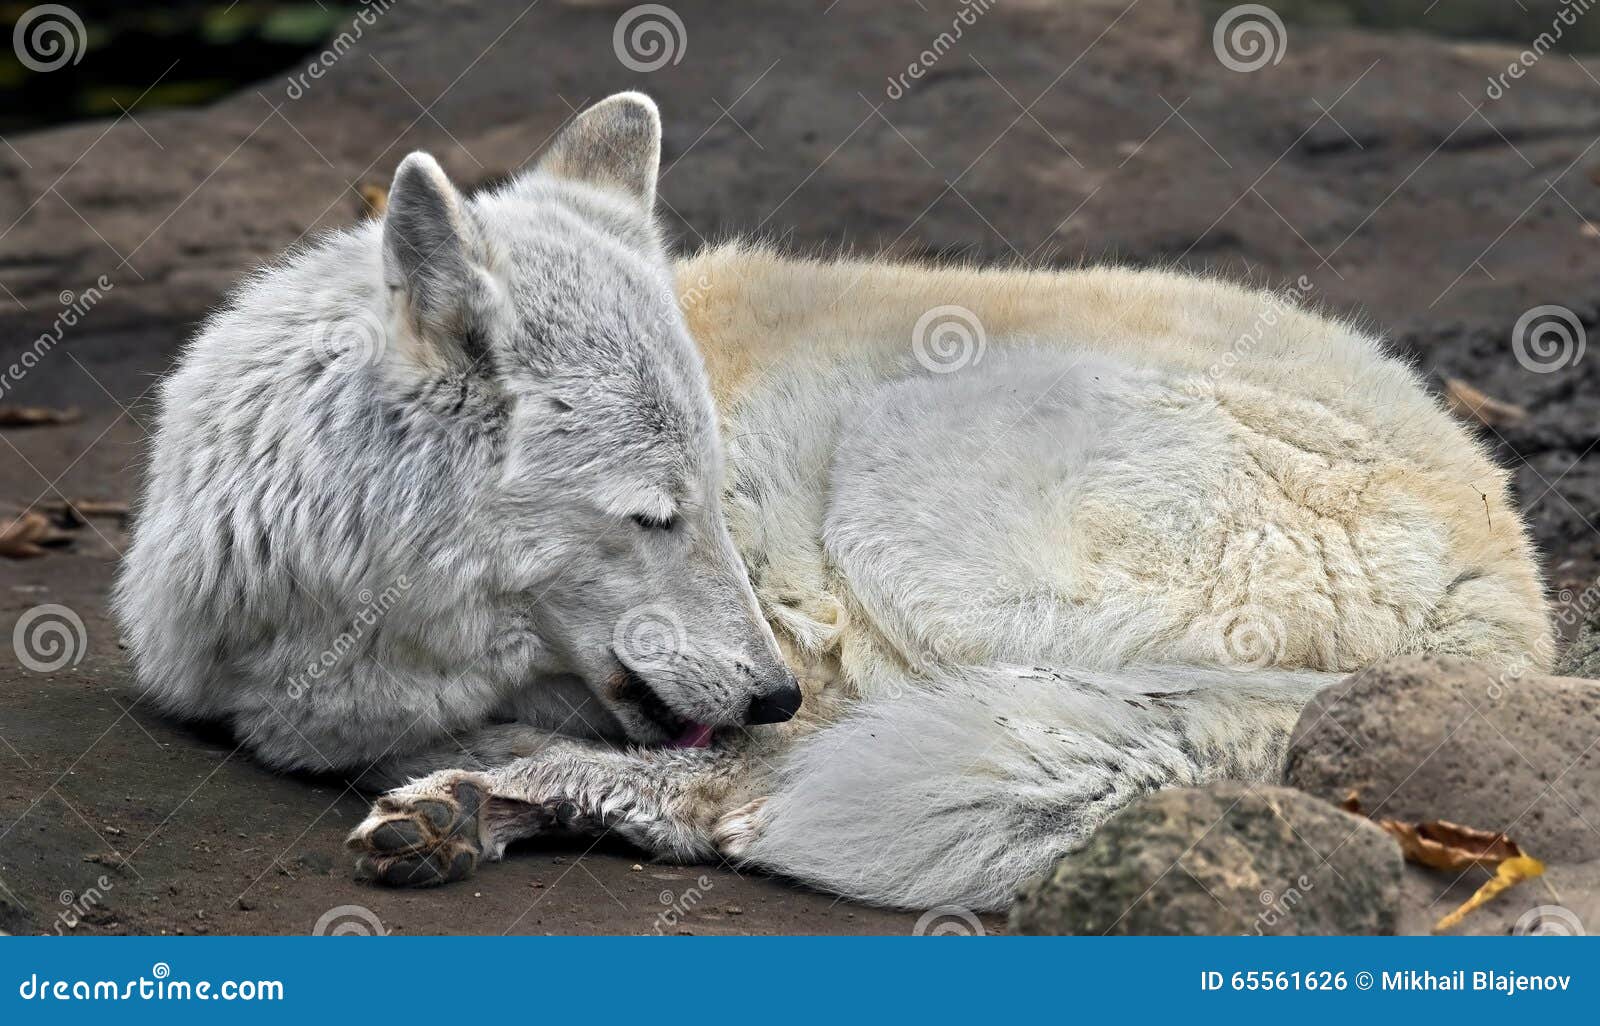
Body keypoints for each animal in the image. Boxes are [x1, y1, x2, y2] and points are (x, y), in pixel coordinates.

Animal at [117, 93, 1551, 912]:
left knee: (784, 789)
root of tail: (1515, 615)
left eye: (708, 497)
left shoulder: (806, 634)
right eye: (655, 515)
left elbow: (731, 760)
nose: (765, 690)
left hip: (910, 491)